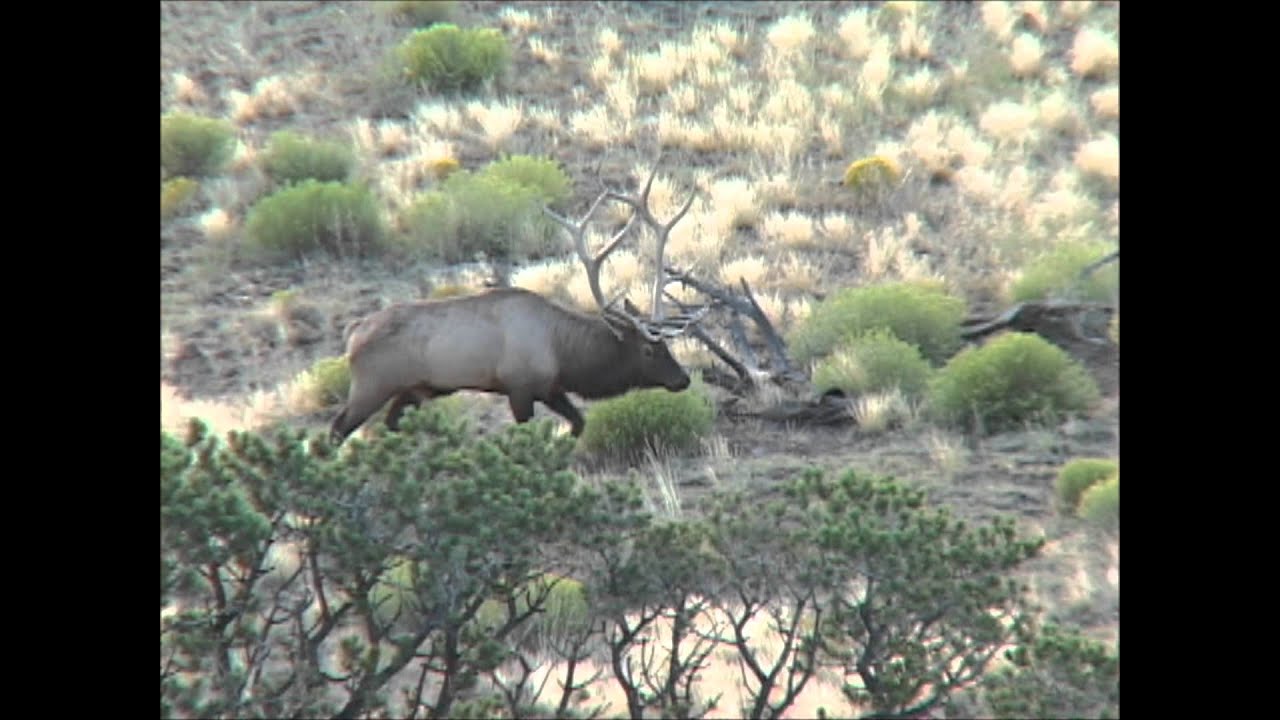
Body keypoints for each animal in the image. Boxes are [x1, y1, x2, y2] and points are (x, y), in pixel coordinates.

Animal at [329, 156, 709, 446]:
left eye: (667, 347)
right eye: (648, 350)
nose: (682, 379)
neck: (564, 352)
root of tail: (353, 333)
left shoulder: (551, 388)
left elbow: (578, 424)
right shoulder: (519, 387)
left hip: (412, 389)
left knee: (389, 424)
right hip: (371, 385)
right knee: (337, 428)